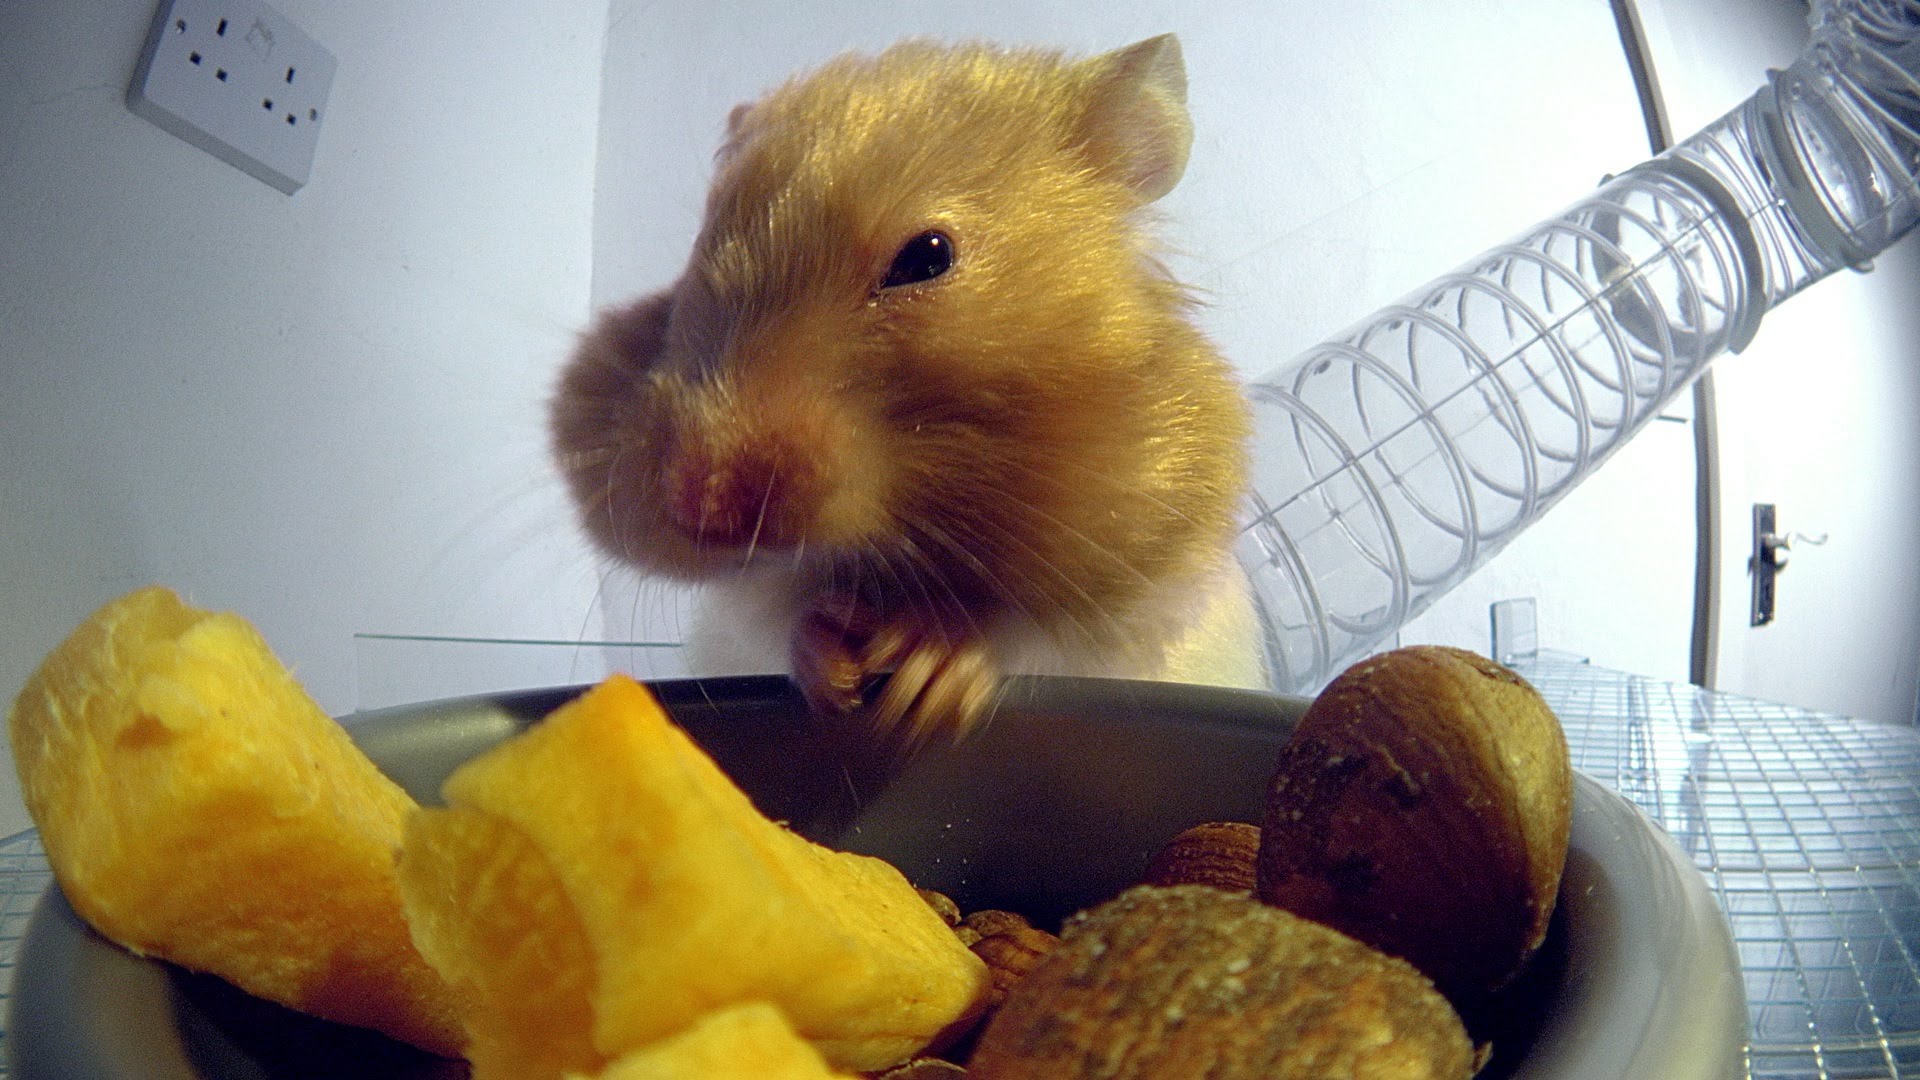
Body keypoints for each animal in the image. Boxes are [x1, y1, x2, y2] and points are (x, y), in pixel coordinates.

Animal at [551, 34, 1262, 746]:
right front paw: (836, 675)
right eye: (695, 258)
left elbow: (1021, 630)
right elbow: (779, 616)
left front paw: (918, 684)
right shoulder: (749, 608)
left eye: (927, 257)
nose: (698, 503)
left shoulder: (1142, 580)